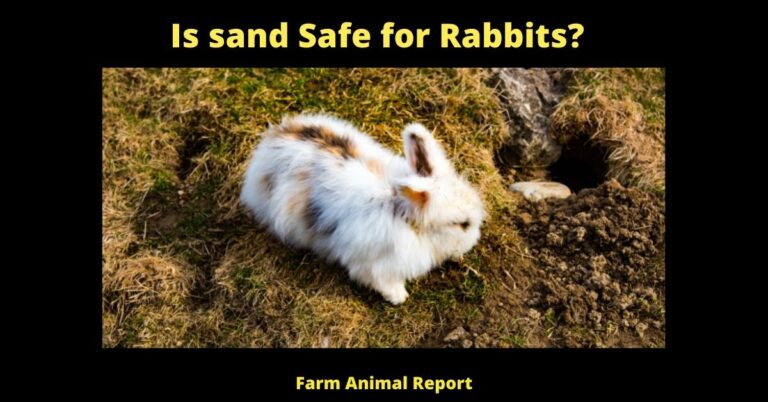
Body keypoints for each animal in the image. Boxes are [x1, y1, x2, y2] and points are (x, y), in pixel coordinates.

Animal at [240, 114, 484, 304]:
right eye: (461, 224)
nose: (473, 242)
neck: (402, 215)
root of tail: (270, 141)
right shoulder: (374, 266)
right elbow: (382, 281)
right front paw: (399, 297)